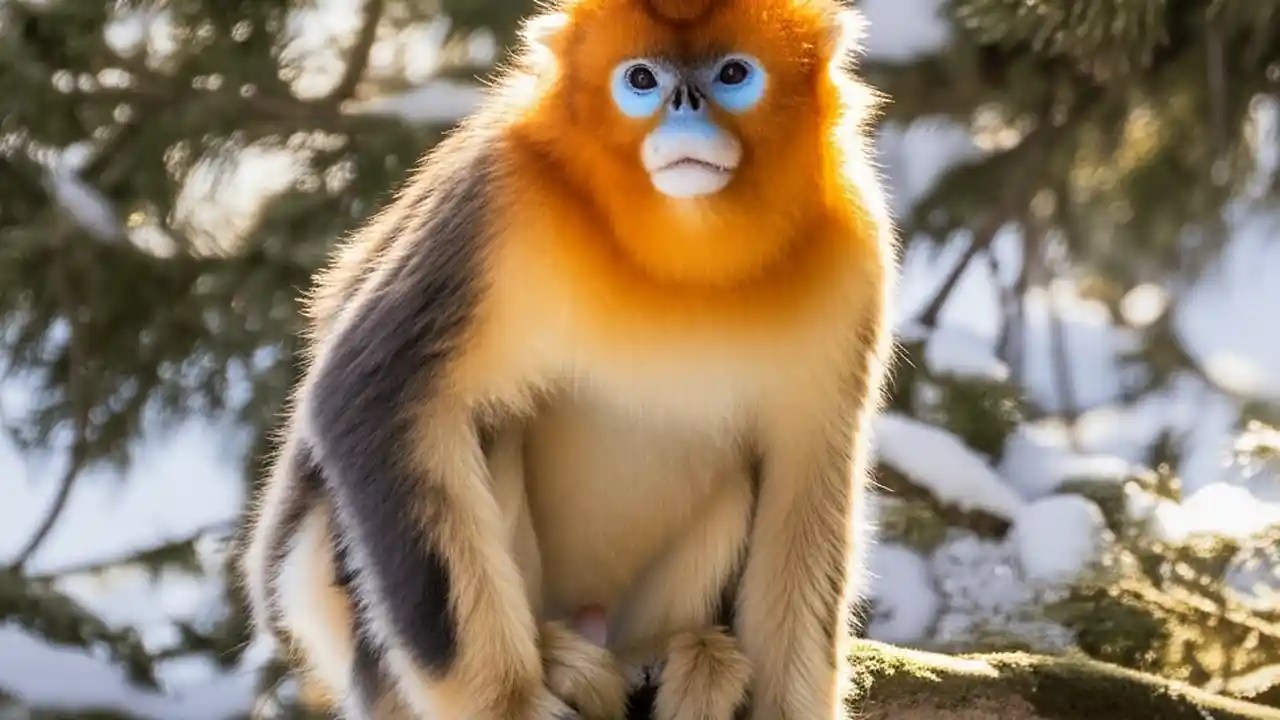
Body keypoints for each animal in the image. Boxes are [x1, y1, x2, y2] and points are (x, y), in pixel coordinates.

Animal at [237, 0, 896, 718]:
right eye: (641, 79)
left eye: (732, 74)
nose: (685, 108)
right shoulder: (498, 197)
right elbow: (373, 399)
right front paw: (509, 704)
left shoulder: (855, 249)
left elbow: (807, 476)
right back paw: (559, 659)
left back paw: (686, 658)